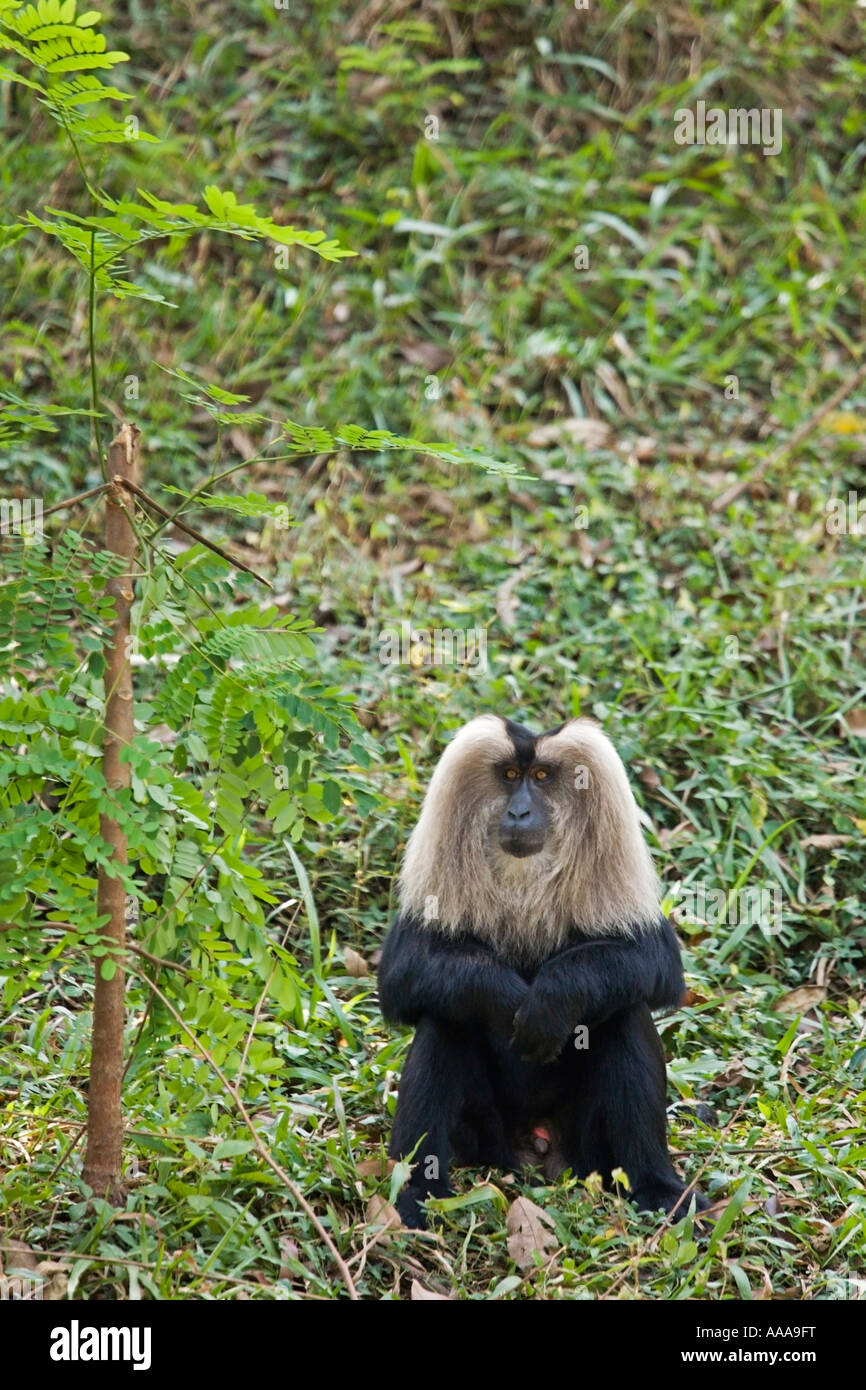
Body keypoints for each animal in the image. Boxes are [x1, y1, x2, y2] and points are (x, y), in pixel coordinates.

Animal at [377, 714, 711, 1229]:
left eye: (541, 777)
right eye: (510, 776)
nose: (519, 812)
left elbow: (653, 961)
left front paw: (552, 1000)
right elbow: (402, 970)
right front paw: (508, 999)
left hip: (586, 1150)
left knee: (626, 1011)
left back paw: (658, 1188)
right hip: (486, 1140)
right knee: (444, 1015)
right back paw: (418, 1192)